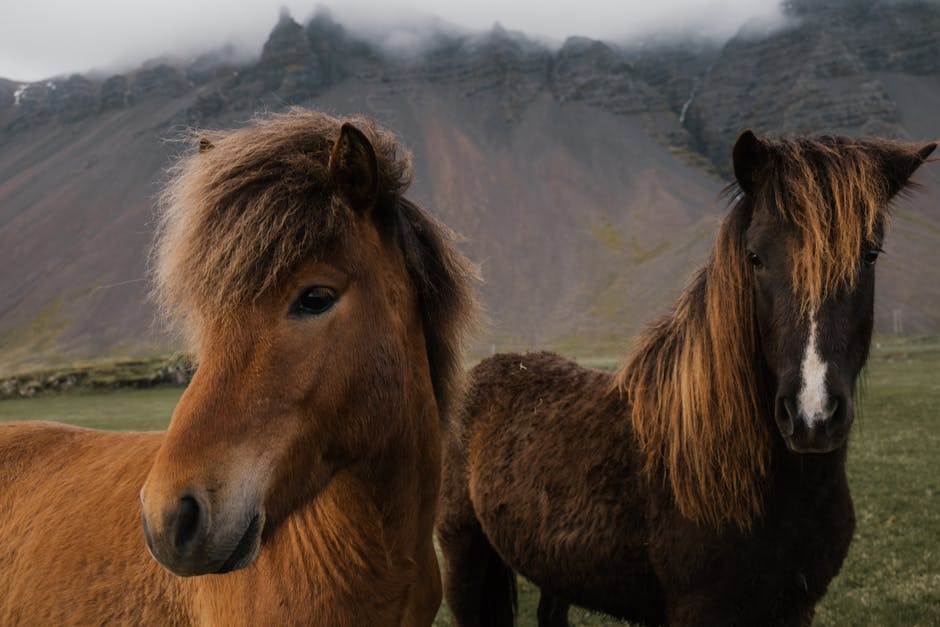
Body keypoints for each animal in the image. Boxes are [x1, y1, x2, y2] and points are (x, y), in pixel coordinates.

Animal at [438, 132, 932, 627]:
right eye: (755, 257)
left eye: (870, 254)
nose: (813, 416)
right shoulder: (698, 608)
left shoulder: (796, 608)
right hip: (462, 551)